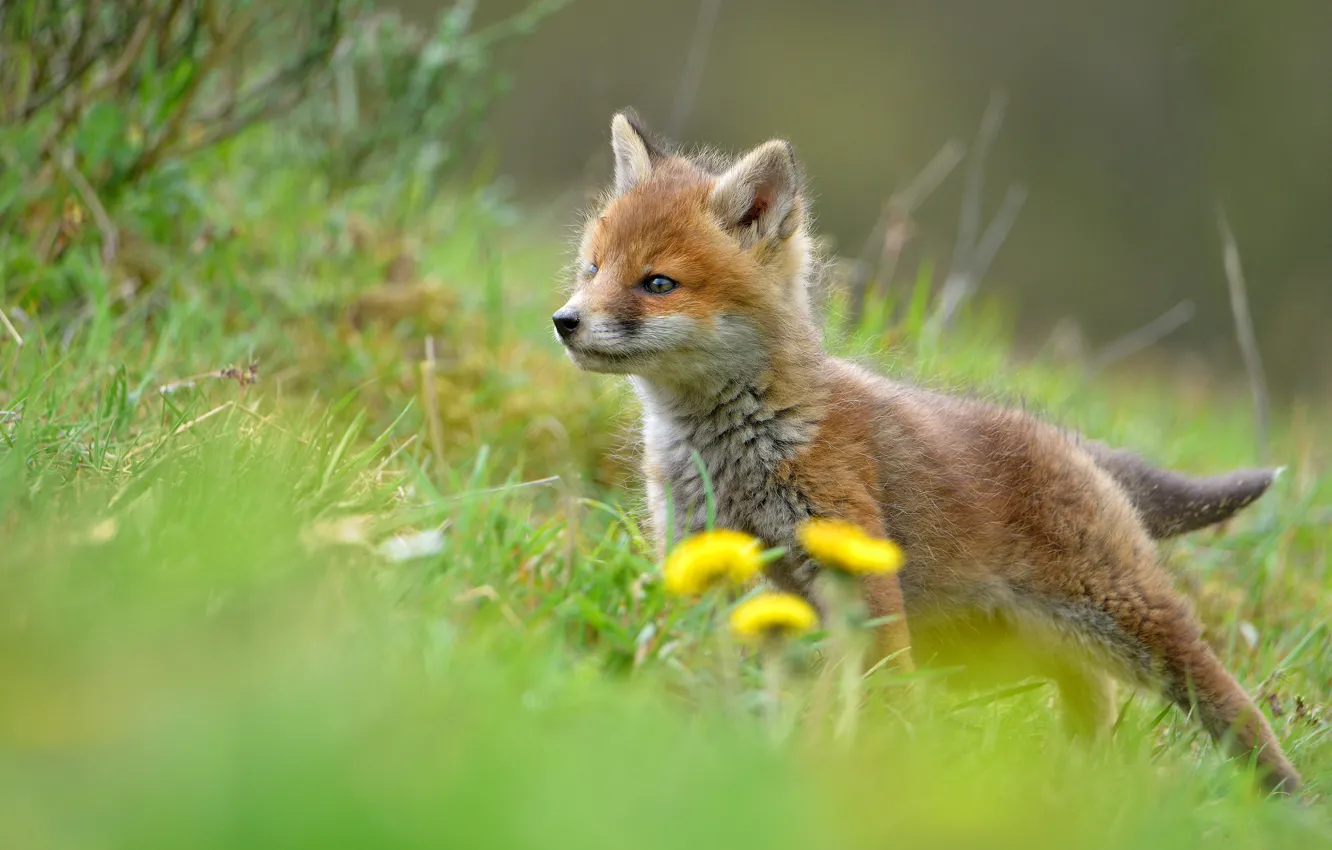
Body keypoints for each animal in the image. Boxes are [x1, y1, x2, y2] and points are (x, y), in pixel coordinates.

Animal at [551, 110, 1299, 794]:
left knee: (1228, 700)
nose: (564, 321)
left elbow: (883, 693)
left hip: (1122, 619)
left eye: (657, 283)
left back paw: (1284, 795)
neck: (737, 445)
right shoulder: (701, 556)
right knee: (1093, 695)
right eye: (593, 268)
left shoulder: (856, 568)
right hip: (1003, 640)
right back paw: (1076, 779)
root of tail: (1069, 441)